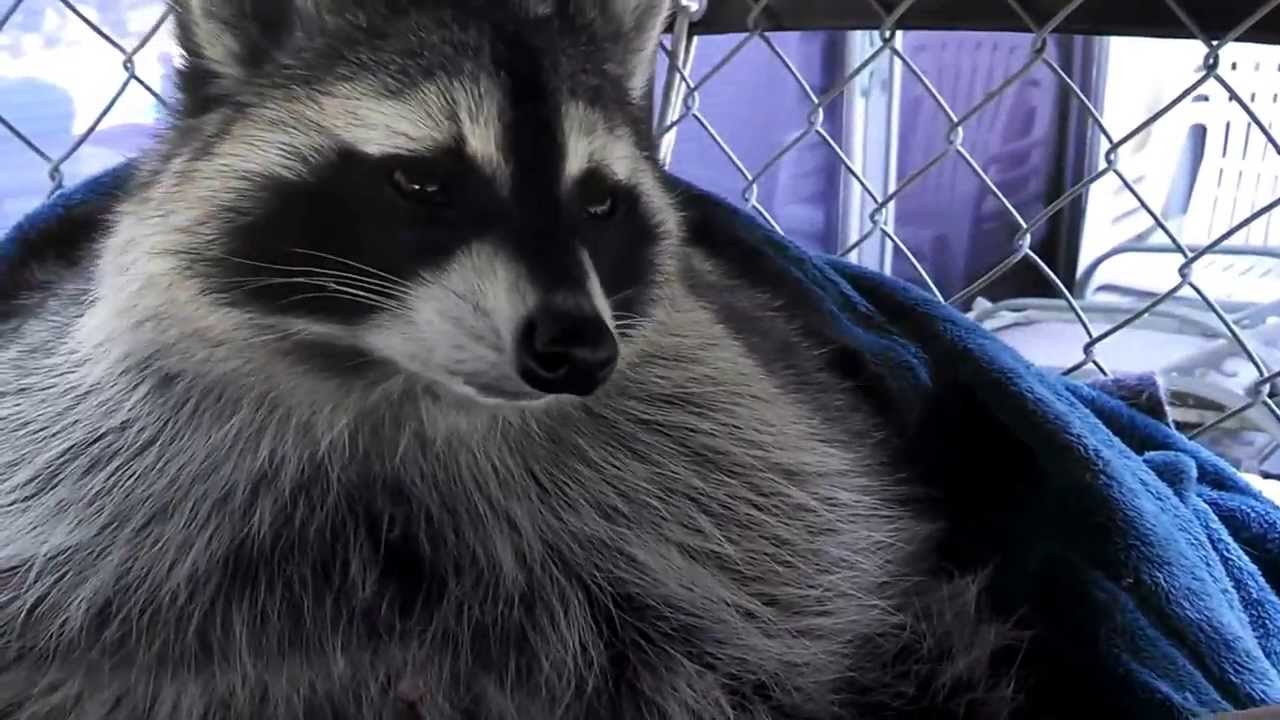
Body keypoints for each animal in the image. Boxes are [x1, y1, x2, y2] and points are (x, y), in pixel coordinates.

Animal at [0, 1, 1016, 718]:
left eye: (599, 202)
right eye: (420, 182)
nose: (578, 348)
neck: (402, 395)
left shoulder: (764, 449)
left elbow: (808, 616)